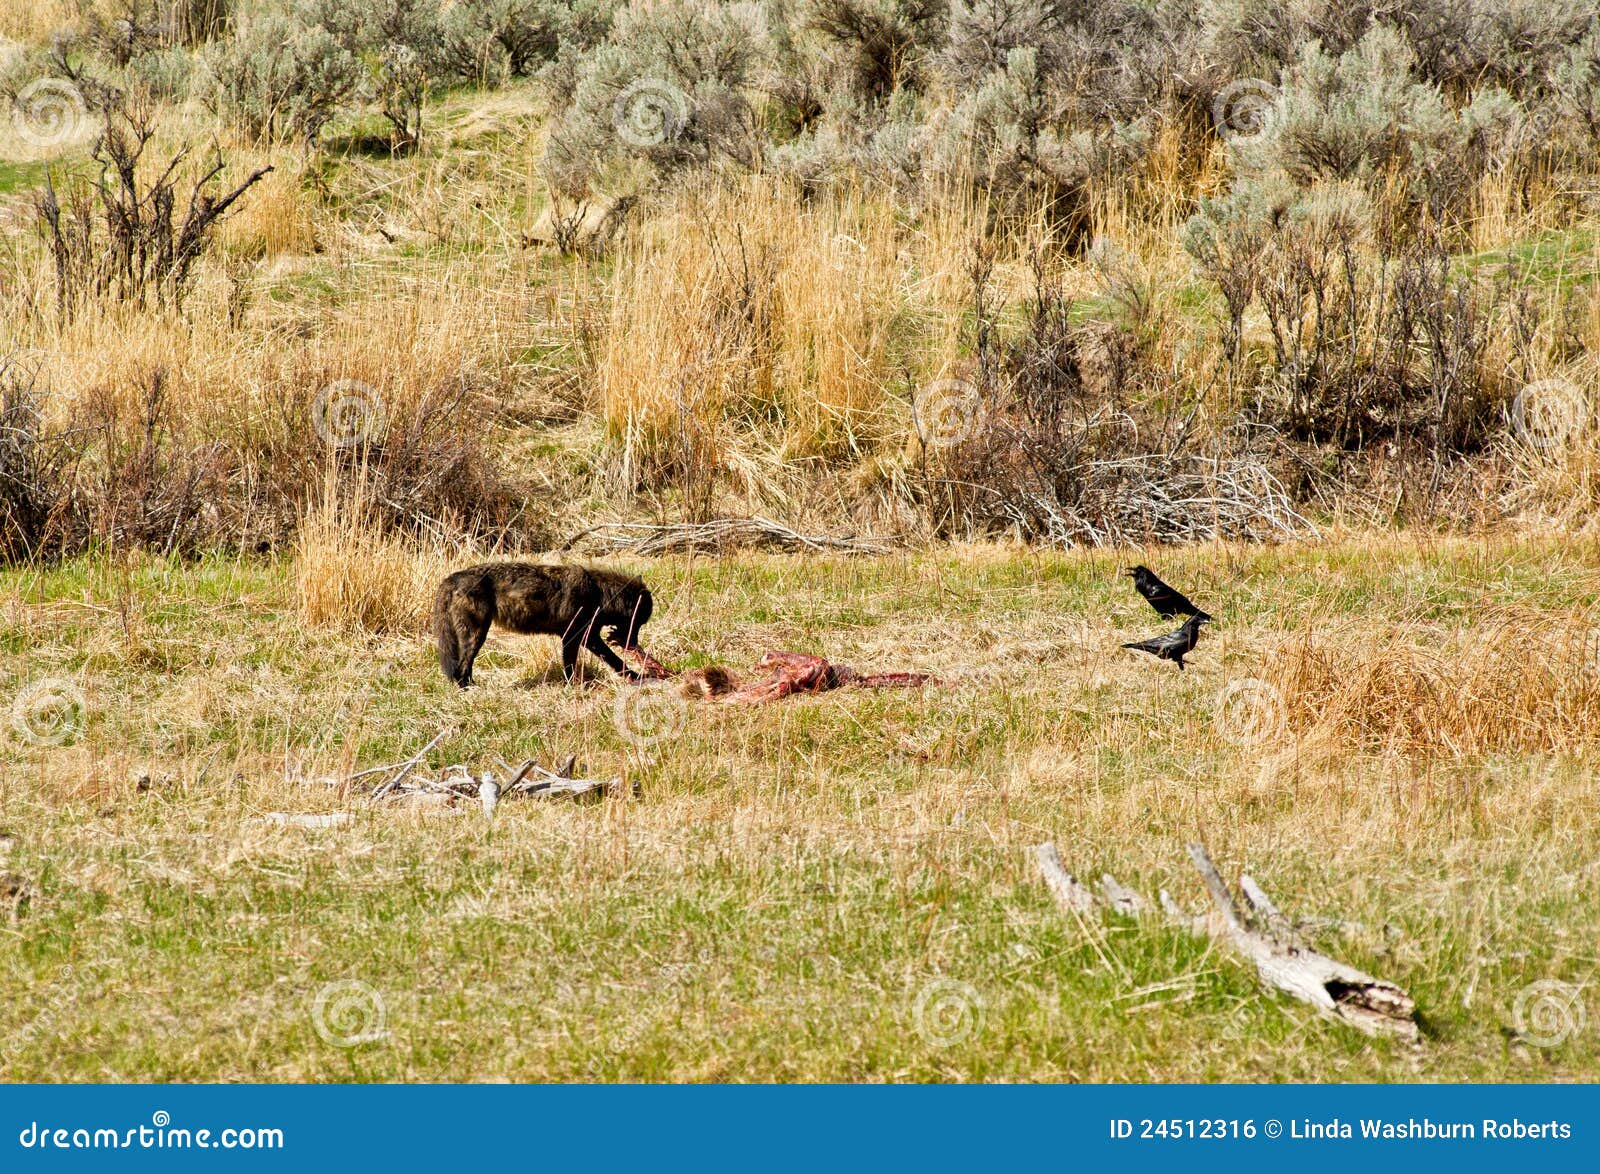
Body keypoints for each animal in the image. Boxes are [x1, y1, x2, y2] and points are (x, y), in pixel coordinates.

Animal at [432, 563, 653, 688]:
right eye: (638, 622)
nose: (634, 644)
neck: (599, 593)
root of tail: (453, 577)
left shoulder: (574, 638)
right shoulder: (582, 637)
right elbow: (613, 659)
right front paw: (635, 675)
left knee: (464, 667)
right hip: (477, 635)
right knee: (461, 668)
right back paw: (469, 689)